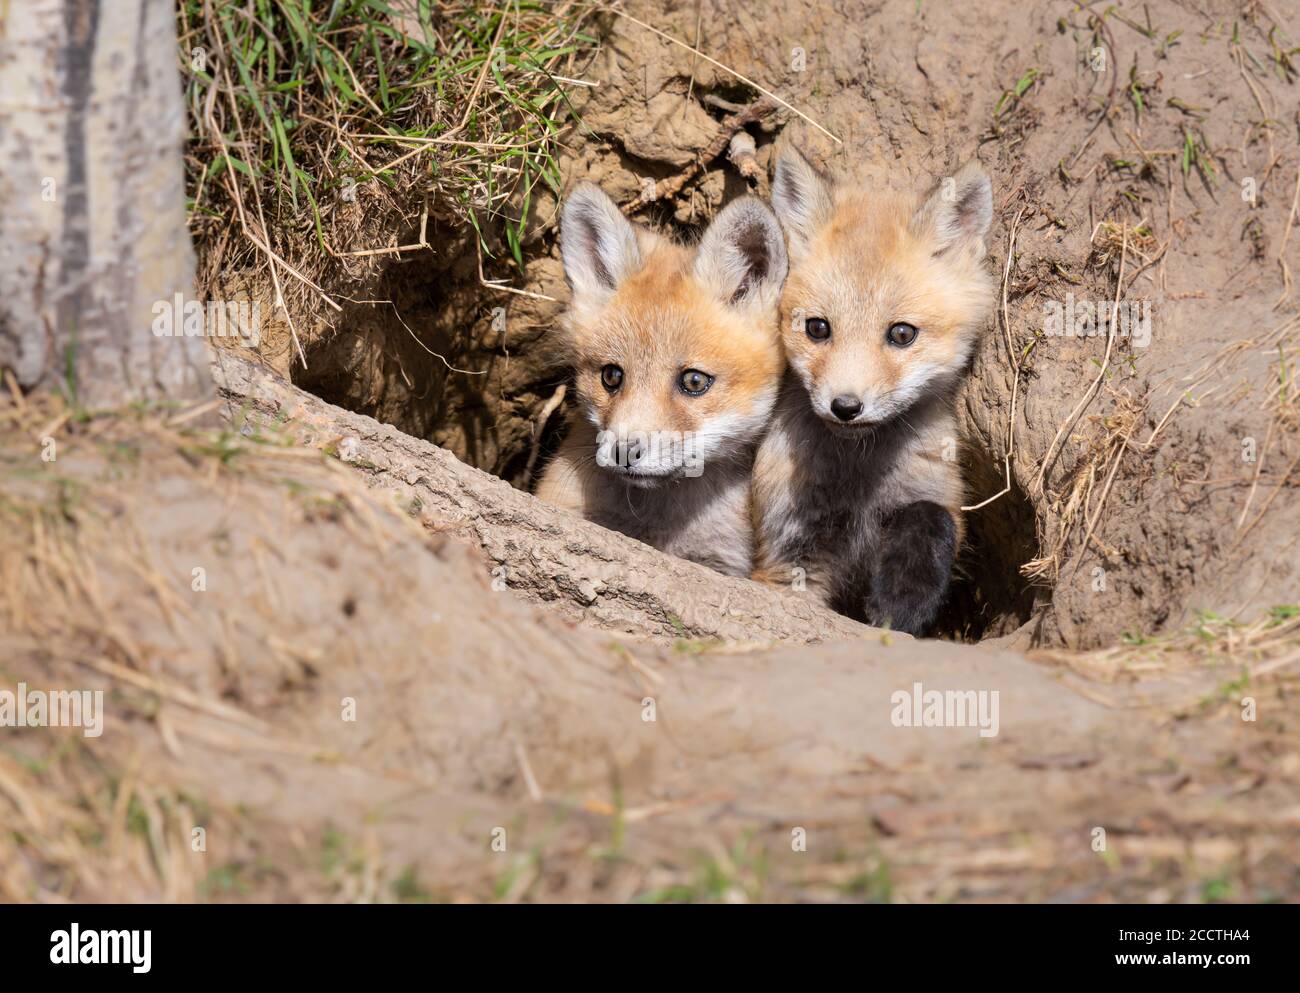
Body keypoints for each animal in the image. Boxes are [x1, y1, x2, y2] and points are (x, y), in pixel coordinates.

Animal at [751, 146, 995, 635]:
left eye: (901, 334)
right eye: (817, 328)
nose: (845, 406)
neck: (857, 480)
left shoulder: (934, 490)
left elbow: (932, 518)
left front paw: (902, 601)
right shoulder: (789, 551)